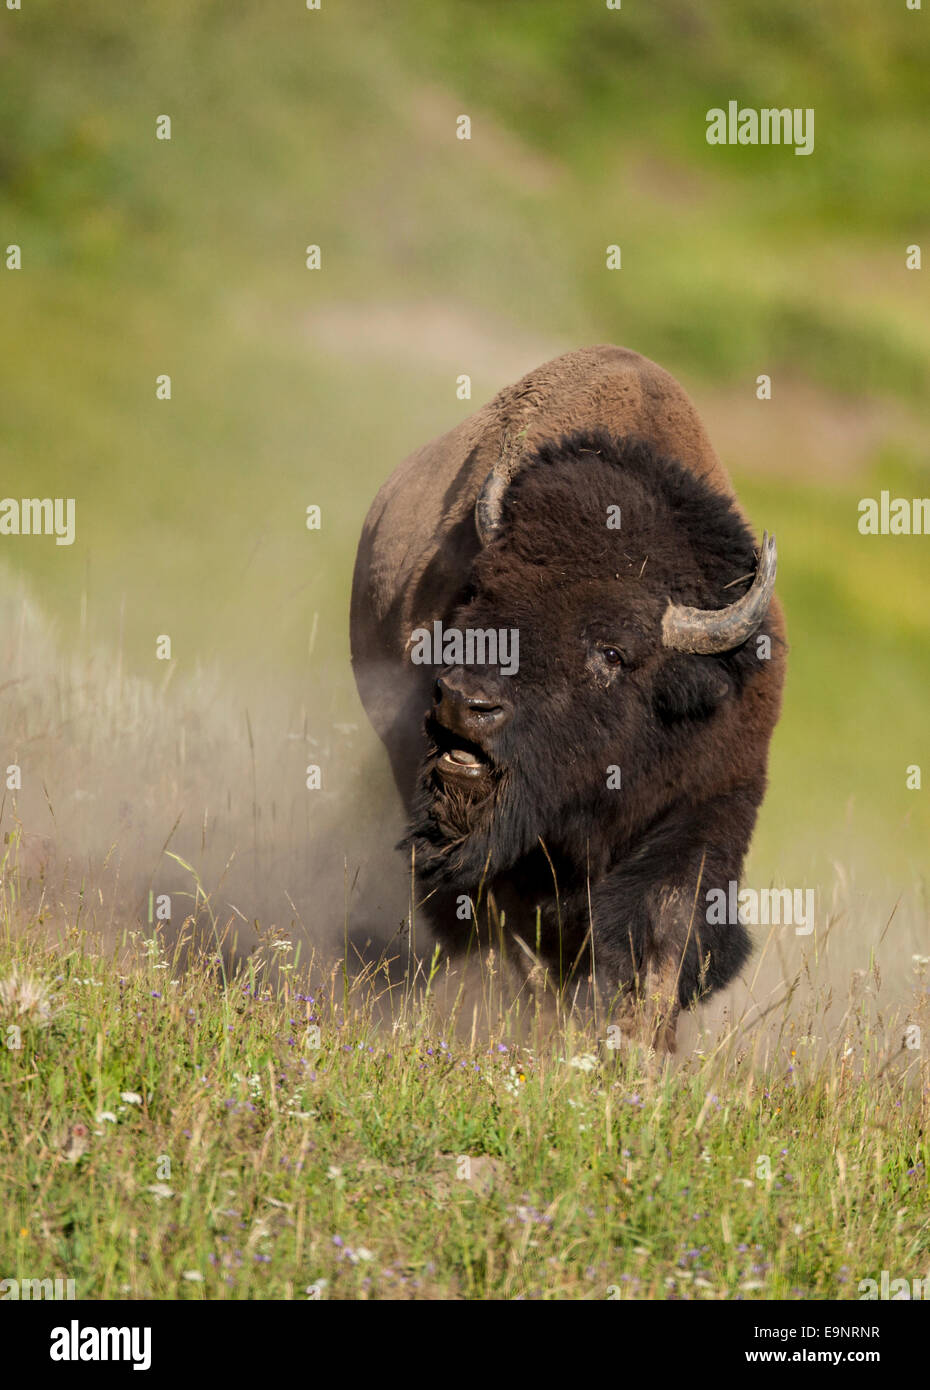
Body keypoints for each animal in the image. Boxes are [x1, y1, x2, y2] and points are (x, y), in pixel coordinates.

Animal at [350, 346, 786, 1049]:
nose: (465, 704)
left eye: (611, 652)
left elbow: (662, 934)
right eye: (478, 593)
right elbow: (512, 933)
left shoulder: (711, 804)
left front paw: (638, 1052)